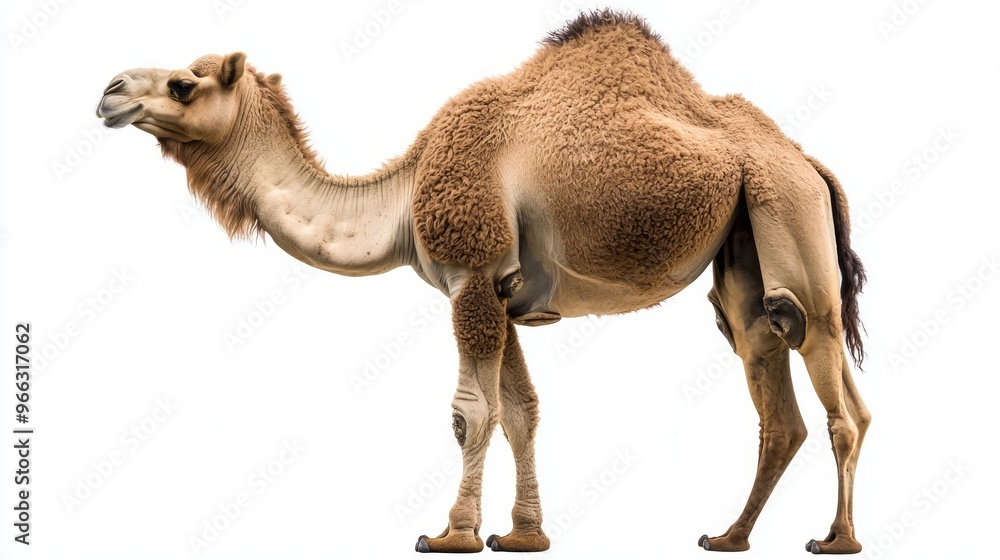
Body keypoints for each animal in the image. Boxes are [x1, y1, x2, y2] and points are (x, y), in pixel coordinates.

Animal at [96, 10, 870, 554]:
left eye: (183, 84)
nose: (108, 92)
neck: (403, 193)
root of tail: (807, 160)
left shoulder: (471, 275)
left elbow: (471, 411)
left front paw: (452, 534)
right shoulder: (504, 293)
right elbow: (522, 409)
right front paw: (524, 534)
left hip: (788, 216)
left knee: (830, 379)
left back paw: (836, 540)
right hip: (746, 247)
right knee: (774, 383)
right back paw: (729, 536)